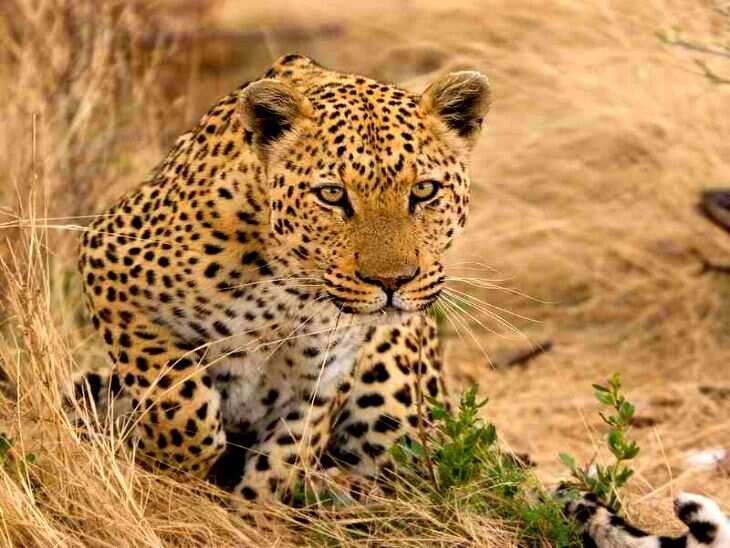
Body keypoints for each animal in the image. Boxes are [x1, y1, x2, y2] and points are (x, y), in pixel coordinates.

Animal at [73, 54, 728, 547]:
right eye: (332, 195)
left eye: (425, 191)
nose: (393, 282)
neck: (291, 286)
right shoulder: (106, 261)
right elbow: (177, 396)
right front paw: (177, 480)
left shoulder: (325, 371)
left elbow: (283, 459)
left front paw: (250, 522)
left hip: (391, 378)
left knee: (404, 480)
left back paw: (342, 496)